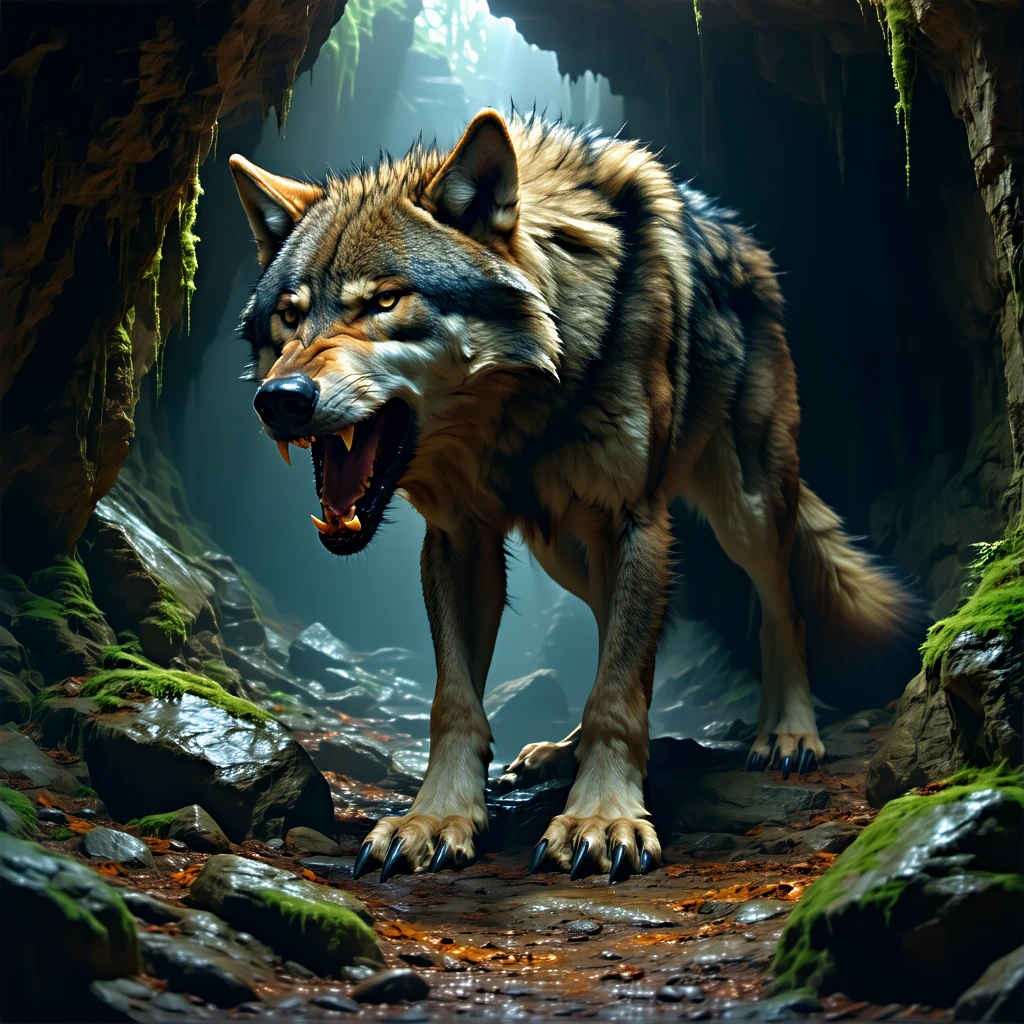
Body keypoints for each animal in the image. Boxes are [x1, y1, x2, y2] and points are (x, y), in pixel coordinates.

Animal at [230, 109, 908, 883]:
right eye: (289, 316)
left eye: (385, 301)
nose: (281, 399)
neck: (519, 420)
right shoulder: (459, 539)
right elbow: (457, 700)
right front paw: (436, 818)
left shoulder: (635, 521)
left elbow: (619, 688)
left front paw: (603, 819)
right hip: (566, 554)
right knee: (622, 628)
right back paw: (562, 751)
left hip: (747, 511)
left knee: (778, 609)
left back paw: (788, 732)